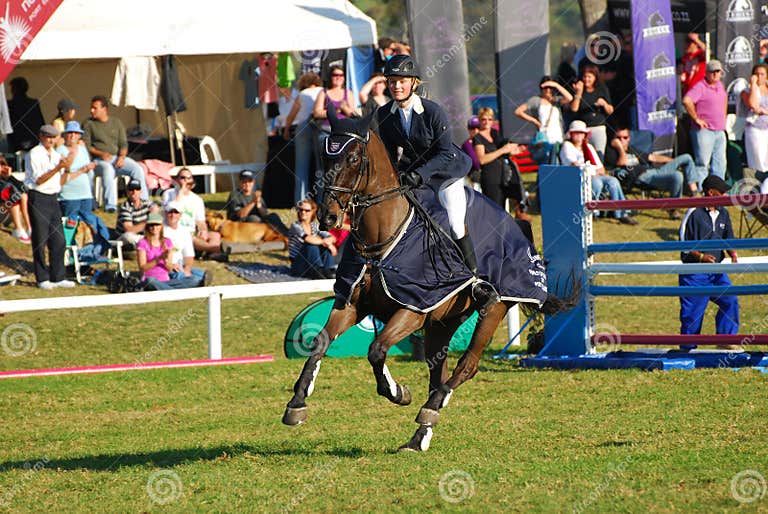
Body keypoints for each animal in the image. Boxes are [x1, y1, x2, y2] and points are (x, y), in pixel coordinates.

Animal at [282, 110, 576, 452]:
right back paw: (419, 437)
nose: (327, 217)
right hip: (442, 323)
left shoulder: (413, 307)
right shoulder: (351, 302)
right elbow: (320, 343)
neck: (381, 239)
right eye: (325, 157)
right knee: (439, 371)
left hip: (493, 309)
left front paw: (398, 392)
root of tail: (519, 235)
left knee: (466, 366)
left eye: (353, 158)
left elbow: (376, 349)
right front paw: (296, 405)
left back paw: (429, 410)